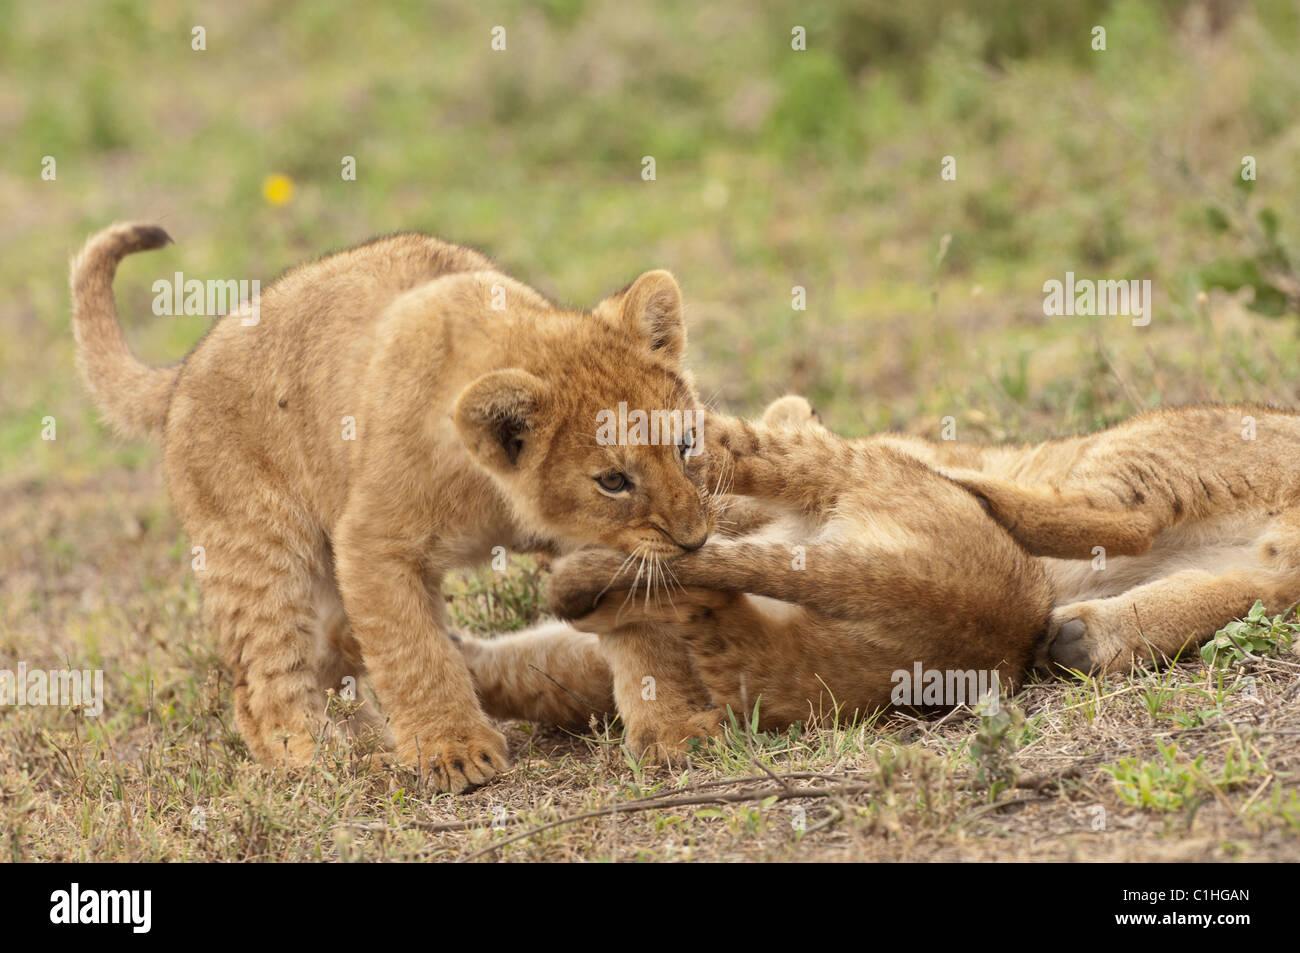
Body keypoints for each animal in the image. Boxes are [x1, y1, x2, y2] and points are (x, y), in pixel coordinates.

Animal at [71, 222, 712, 791]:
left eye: (685, 444)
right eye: (613, 481)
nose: (695, 539)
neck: (499, 498)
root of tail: (184, 370)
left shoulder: (604, 548)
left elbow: (645, 637)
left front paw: (675, 730)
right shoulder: (372, 543)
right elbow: (414, 652)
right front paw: (455, 753)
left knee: (333, 653)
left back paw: (365, 747)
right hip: (261, 551)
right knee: (265, 679)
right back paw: (322, 760)